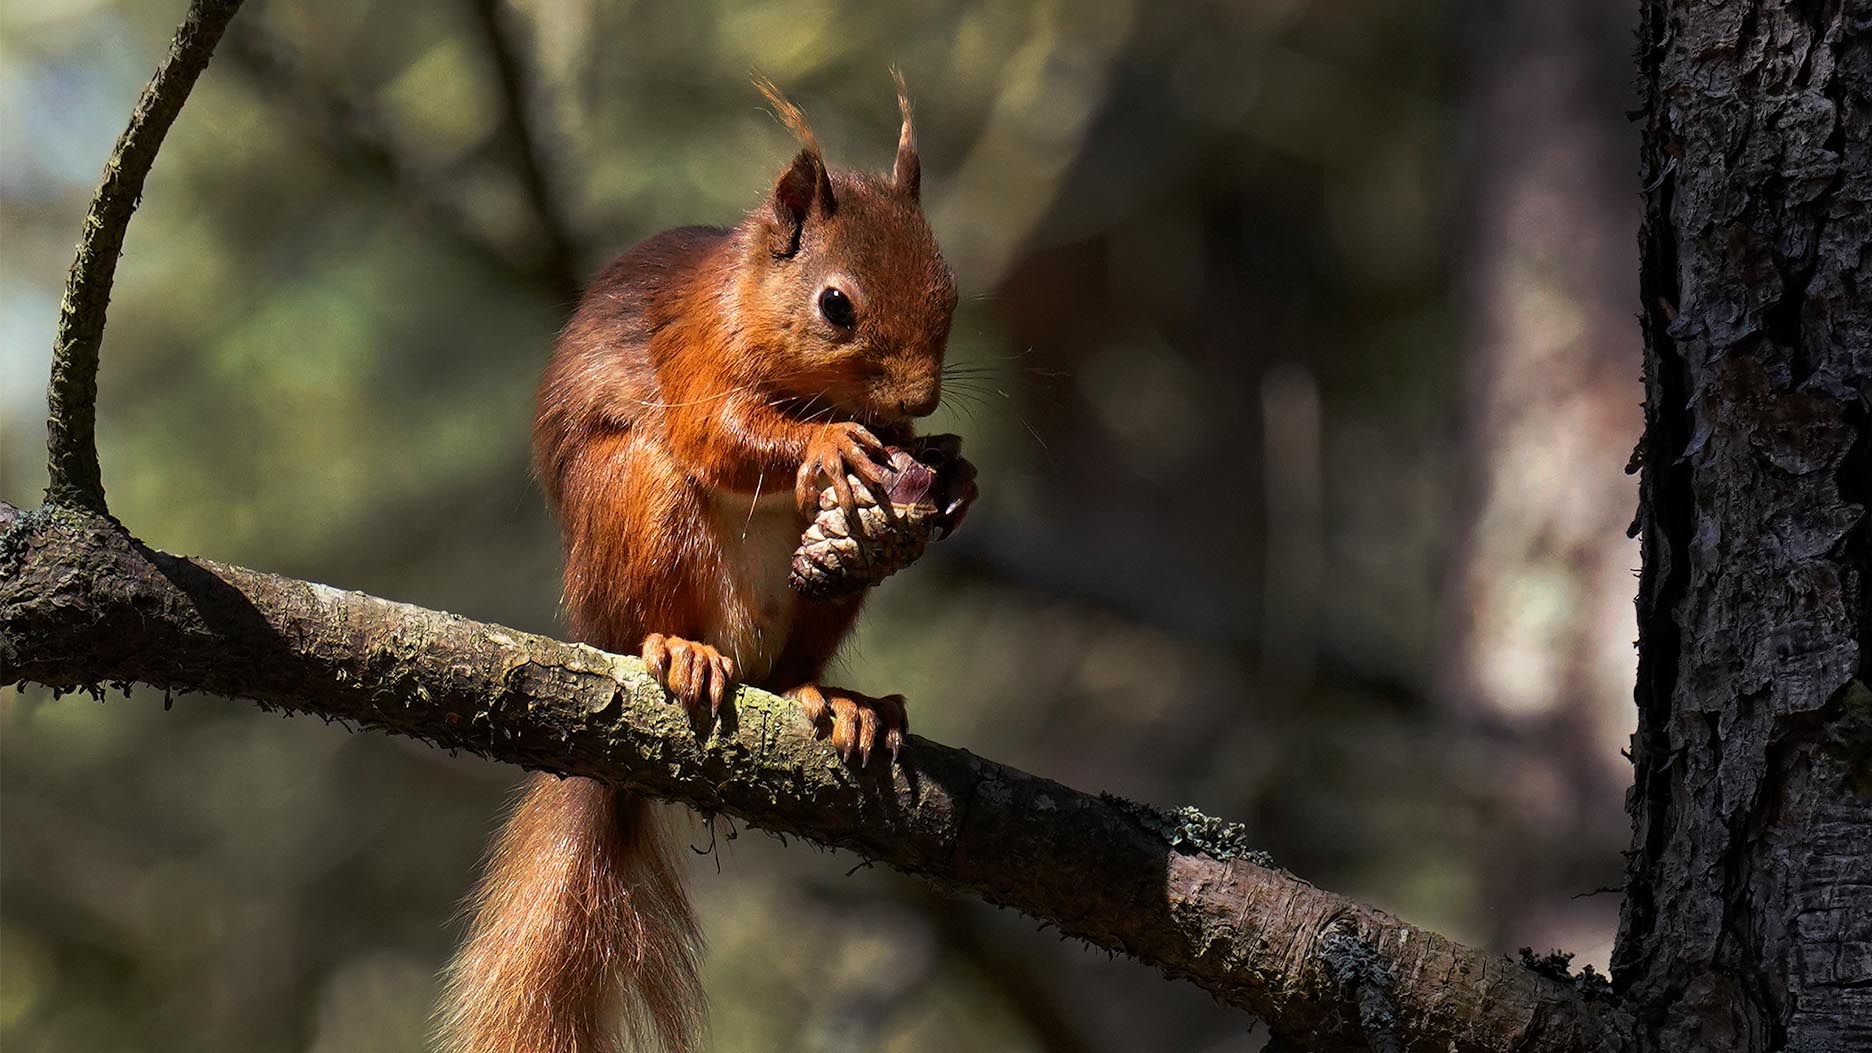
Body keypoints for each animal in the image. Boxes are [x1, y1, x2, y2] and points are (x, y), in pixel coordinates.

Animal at [436, 76, 963, 1053]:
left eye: (951, 288)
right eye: (836, 304)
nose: (921, 400)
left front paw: (955, 469)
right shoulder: (693, 354)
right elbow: (722, 435)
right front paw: (827, 445)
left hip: (821, 601)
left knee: (794, 669)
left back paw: (838, 699)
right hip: (639, 510)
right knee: (654, 605)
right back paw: (680, 650)